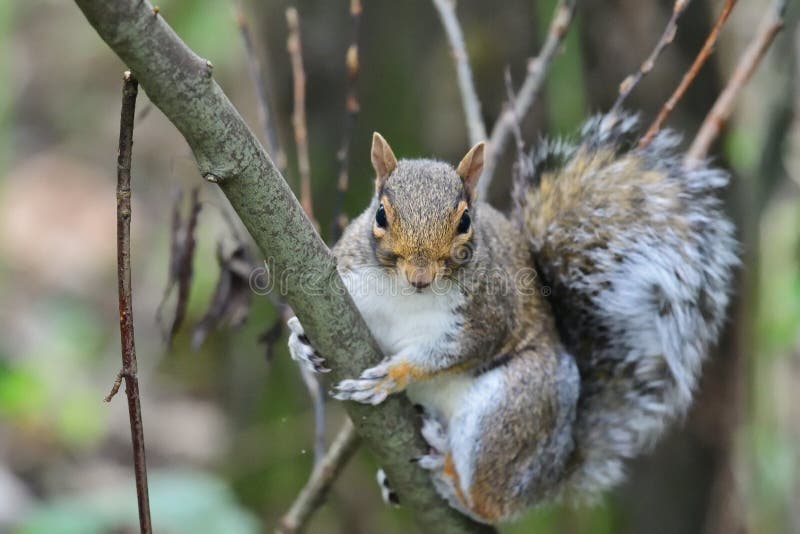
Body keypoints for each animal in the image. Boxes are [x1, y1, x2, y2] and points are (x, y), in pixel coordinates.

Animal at [286, 112, 738, 523]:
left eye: (465, 221)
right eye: (380, 215)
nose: (420, 276)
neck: (405, 296)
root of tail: (555, 471)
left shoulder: (486, 319)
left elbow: (449, 353)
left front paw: (393, 374)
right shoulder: (347, 280)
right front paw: (301, 343)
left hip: (513, 409)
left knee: (493, 503)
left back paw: (452, 478)